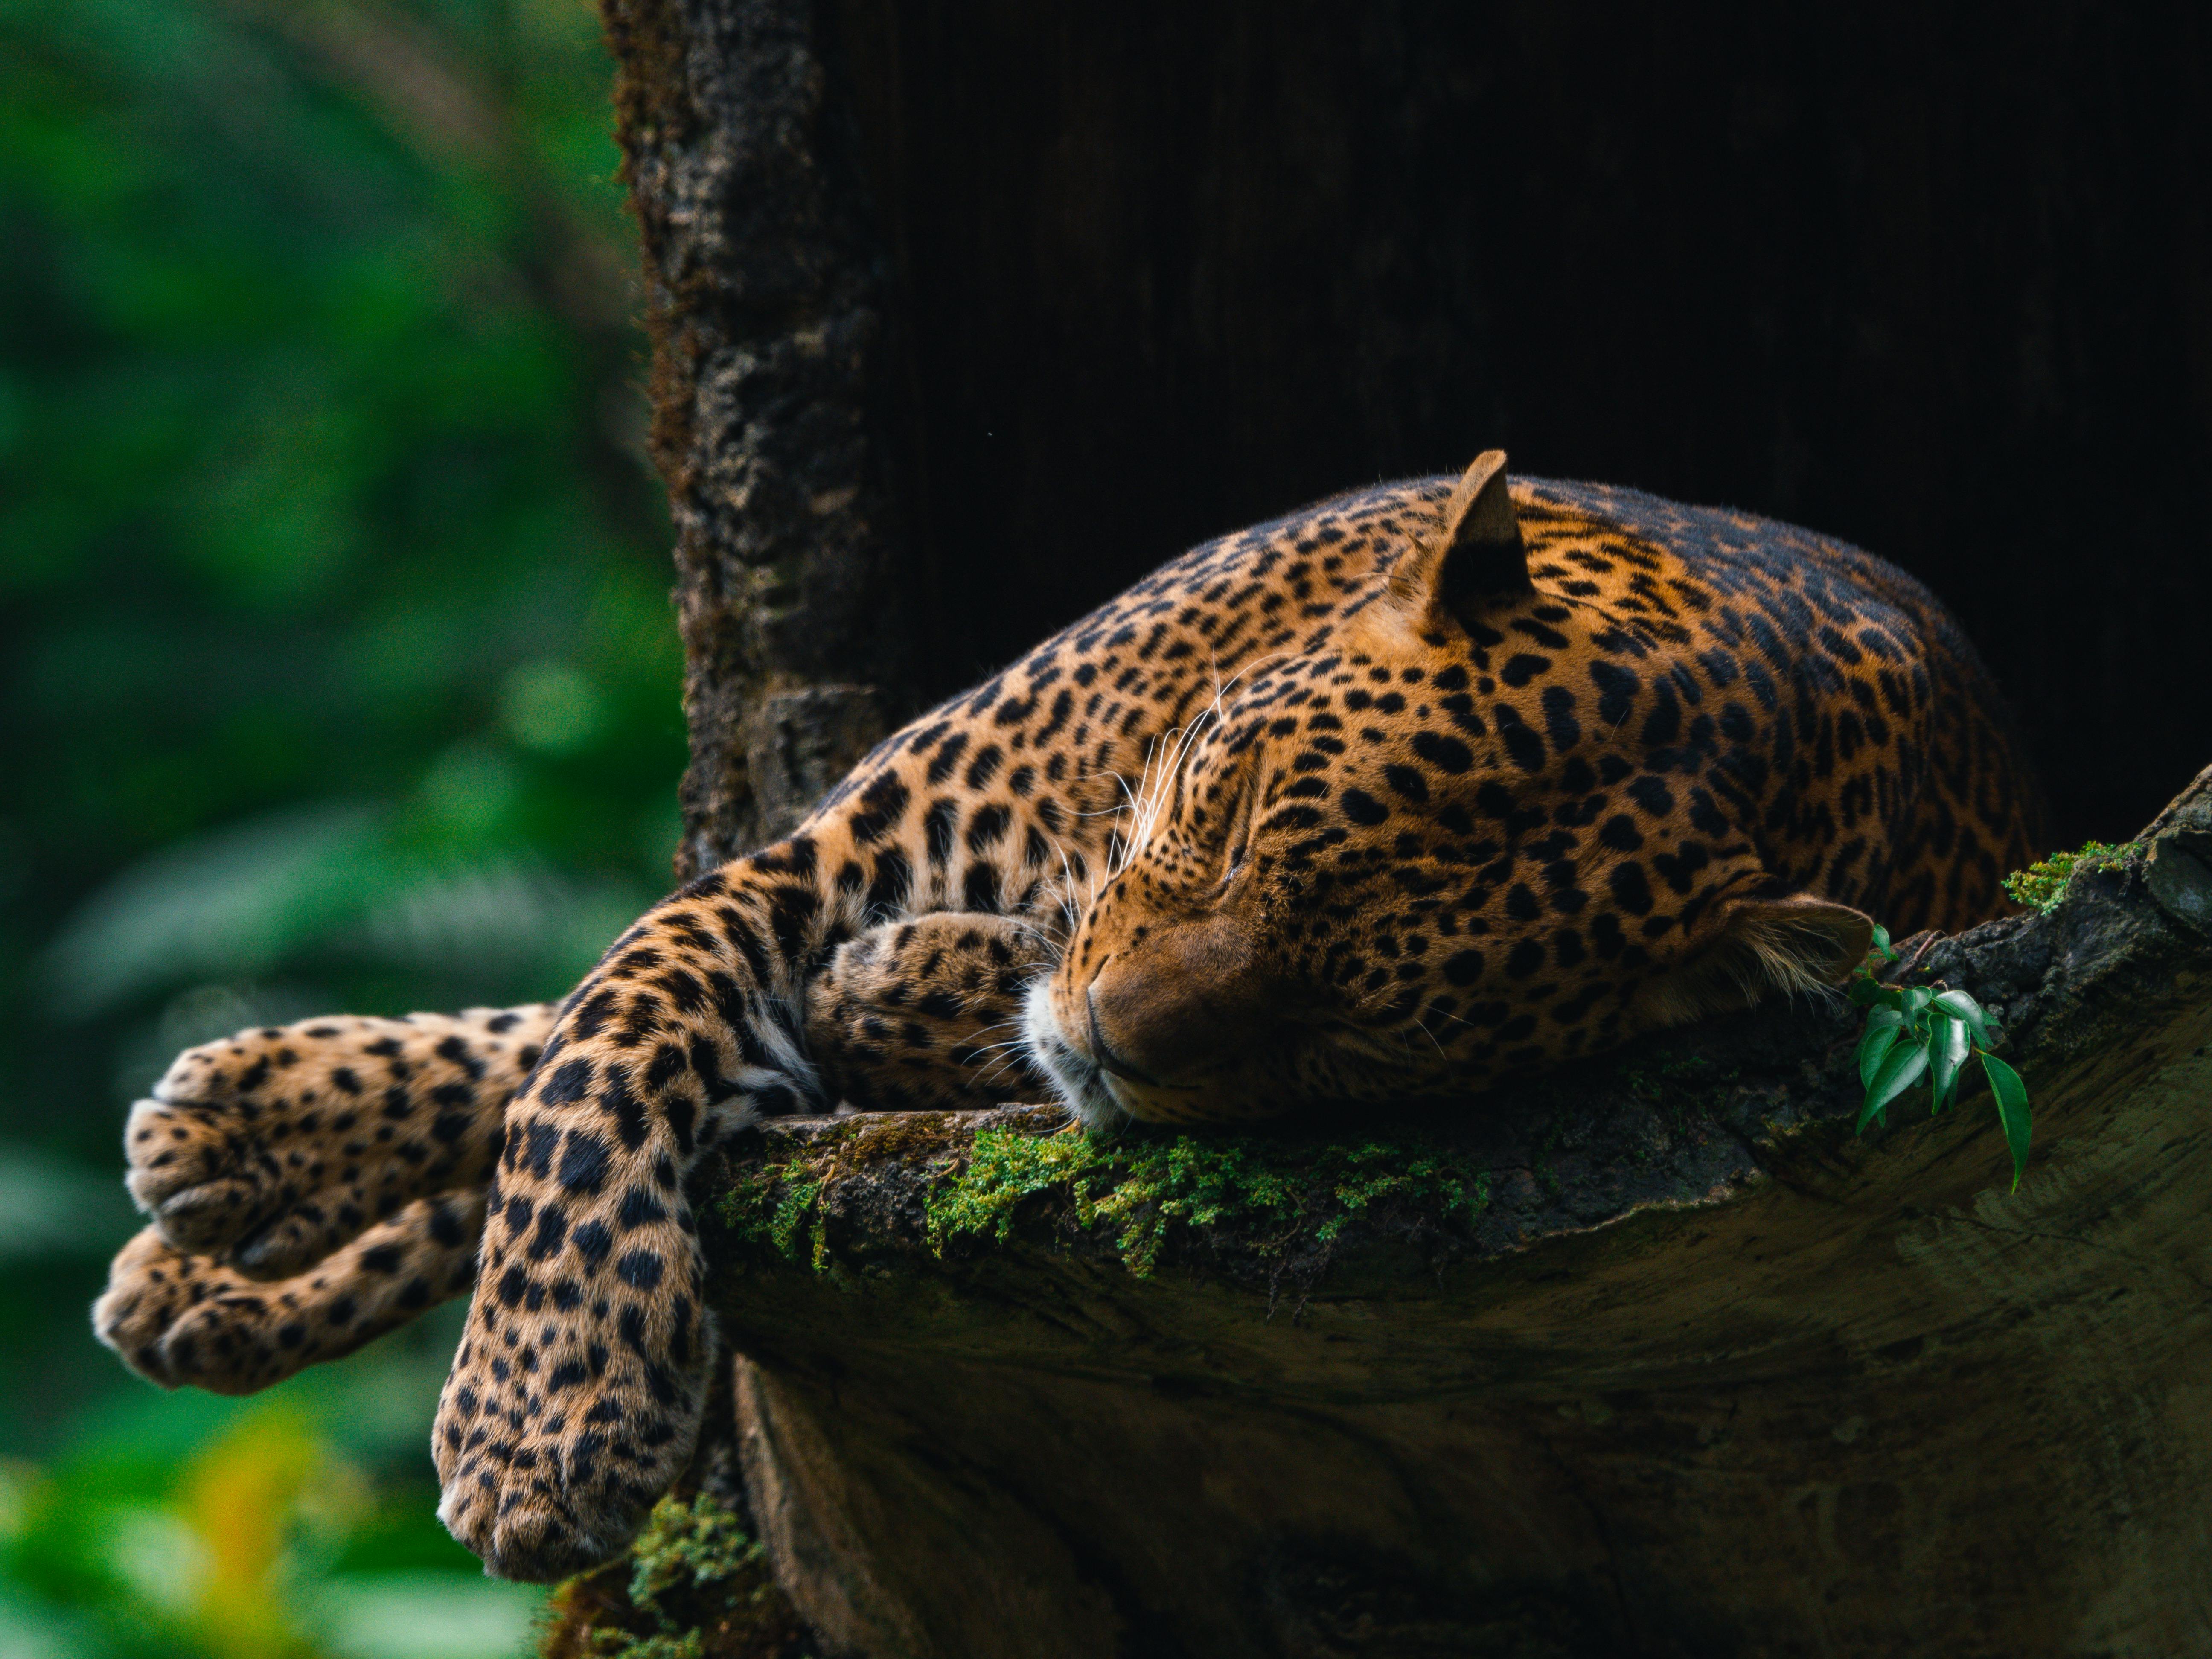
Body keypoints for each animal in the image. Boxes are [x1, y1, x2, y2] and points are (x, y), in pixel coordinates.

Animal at [93, 451, 2049, 1581]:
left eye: (1365, 1045)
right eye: (1238, 805)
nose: (1111, 1036)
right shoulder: (816, 855)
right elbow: (595, 1049)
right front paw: (539, 1412)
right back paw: (221, 1164)